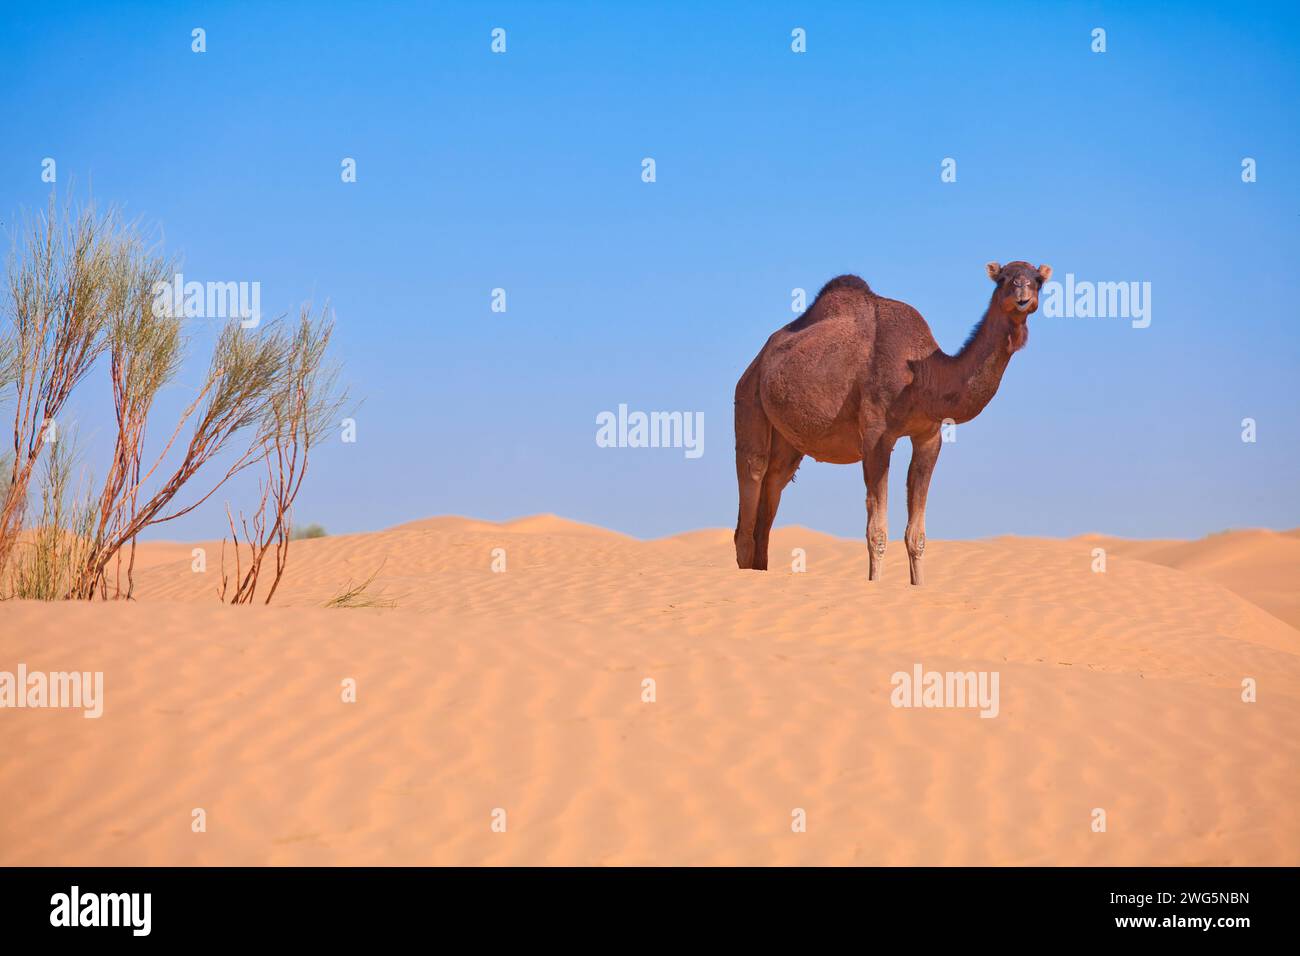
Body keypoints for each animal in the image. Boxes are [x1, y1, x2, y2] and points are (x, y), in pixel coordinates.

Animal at [733, 260, 1051, 584]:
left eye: (1038, 280)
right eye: (1003, 279)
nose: (1023, 295)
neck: (922, 374)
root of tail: (758, 361)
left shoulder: (929, 436)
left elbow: (916, 535)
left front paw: (917, 585)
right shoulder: (876, 435)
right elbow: (877, 532)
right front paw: (875, 584)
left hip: (787, 442)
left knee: (771, 493)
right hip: (750, 399)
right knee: (752, 480)